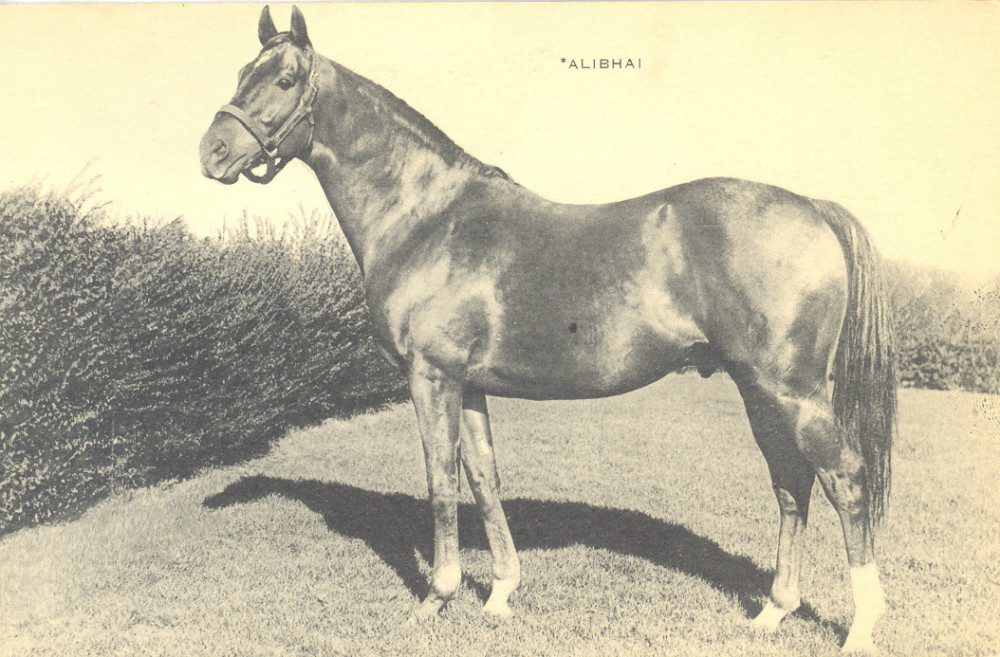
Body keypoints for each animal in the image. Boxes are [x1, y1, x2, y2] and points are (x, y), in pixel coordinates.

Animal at [200, 7, 897, 653]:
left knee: (845, 481)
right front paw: (500, 593)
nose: (212, 153)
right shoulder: (468, 384)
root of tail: (812, 208)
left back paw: (861, 627)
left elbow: (440, 480)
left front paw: (436, 599)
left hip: (792, 391)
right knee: (791, 484)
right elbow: (483, 477)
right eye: (240, 73)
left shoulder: (431, 377)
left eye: (285, 79)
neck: (428, 219)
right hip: (758, 391)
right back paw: (774, 611)